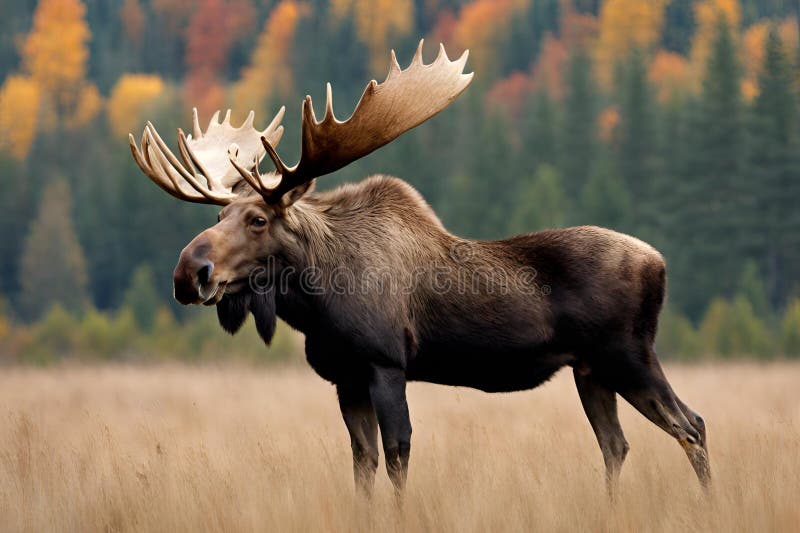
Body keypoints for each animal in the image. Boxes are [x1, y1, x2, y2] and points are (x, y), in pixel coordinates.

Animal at [129, 41, 710, 498]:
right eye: (218, 215)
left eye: (257, 219)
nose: (190, 272)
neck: (315, 298)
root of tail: (659, 263)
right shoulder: (345, 377)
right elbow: (363, 465)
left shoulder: (385, 362)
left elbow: (396, 457)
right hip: (591, 370)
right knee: (618, 444)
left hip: (627, 354)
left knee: (692, 425)